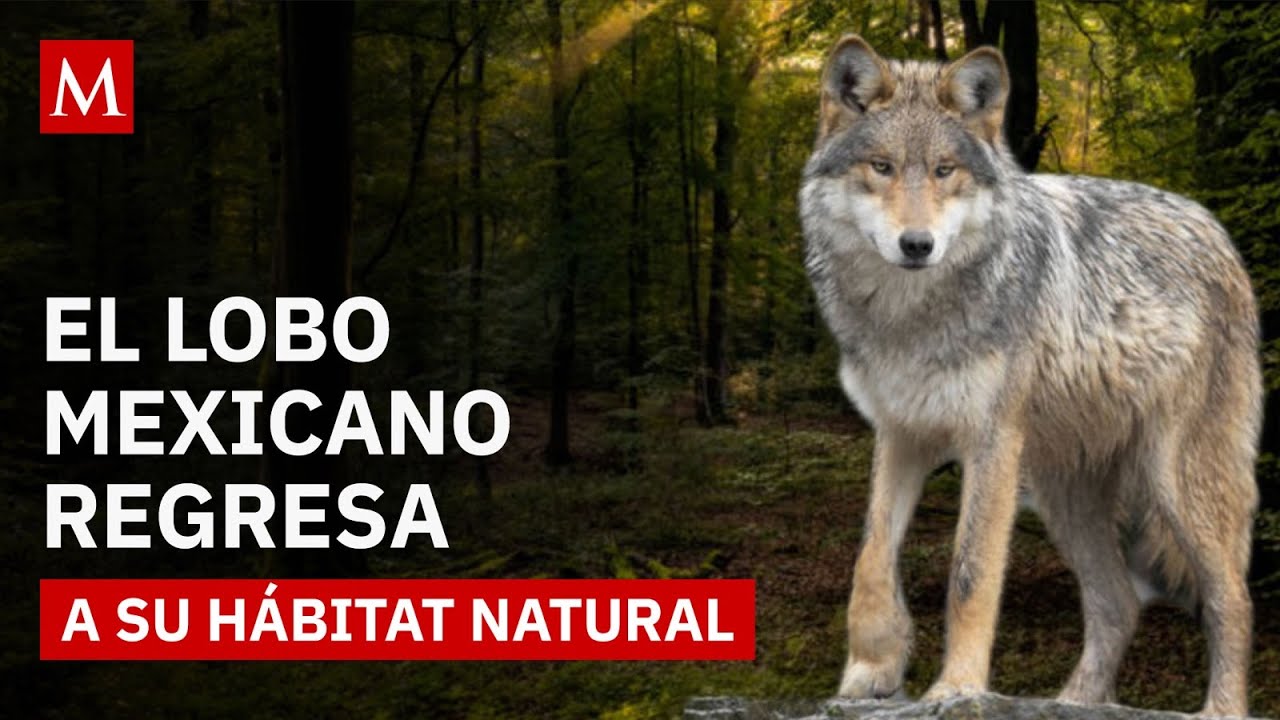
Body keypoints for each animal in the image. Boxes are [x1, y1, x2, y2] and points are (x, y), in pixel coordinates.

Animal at [799, 36, 1260, 717]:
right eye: (881, 167)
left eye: (944, 171)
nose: (917, 245)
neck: (912, 319)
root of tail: (1216, 230)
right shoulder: (900, 435)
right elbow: (871, 559)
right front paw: (870, 672)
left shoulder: (989, 443)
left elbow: (970, 575)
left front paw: (957, 687)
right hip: (1062, 497)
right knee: (1119, 602)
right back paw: (1075, 702)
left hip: (1178, 483)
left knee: (1231, 598)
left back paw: (1219, 710)